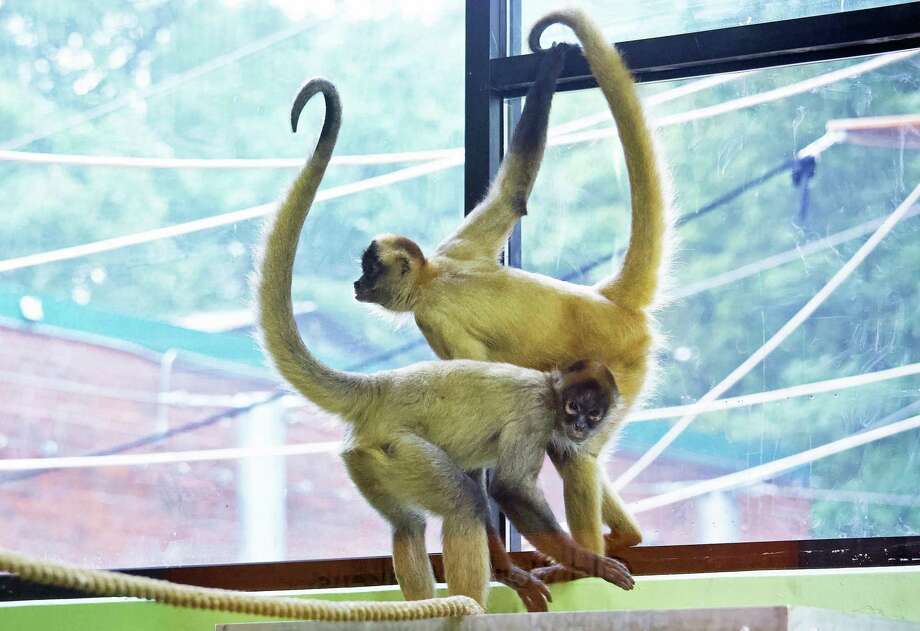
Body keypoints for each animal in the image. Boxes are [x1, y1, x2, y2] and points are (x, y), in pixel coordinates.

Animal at [254, 76, 635, 610]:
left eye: (594, 415)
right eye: (575, 409)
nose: (582, 426)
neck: (550, 389)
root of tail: (380, 388)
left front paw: (516, 571)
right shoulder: (535, 416)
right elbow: (508, 489)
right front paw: (587, 563)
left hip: (369, 457)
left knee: (406, 524)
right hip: (397, 446)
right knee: (463, 503)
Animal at [350, 8, 671, 580]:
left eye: (370, 268)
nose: (357, 283)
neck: (434, 277)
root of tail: (611, 302)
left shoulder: (436, 318)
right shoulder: (458, 245)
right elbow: (513, 192)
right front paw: (551, 64)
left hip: (622, 373)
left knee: (576, 453)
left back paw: (580, 564)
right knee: (570, 449)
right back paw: (626, 539)